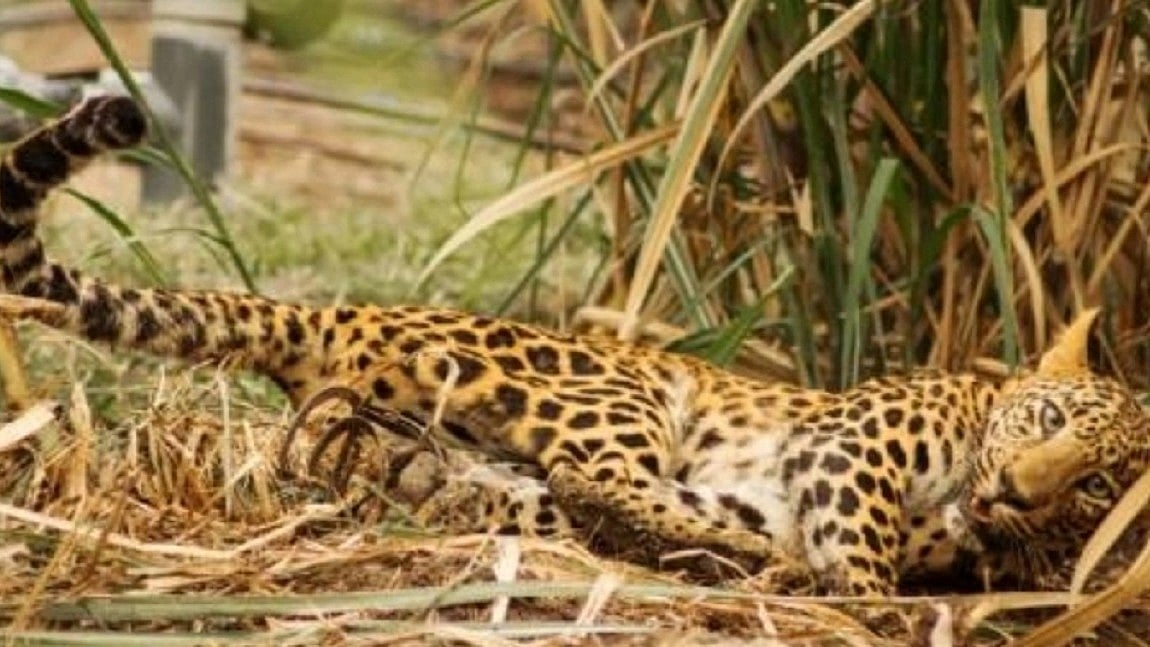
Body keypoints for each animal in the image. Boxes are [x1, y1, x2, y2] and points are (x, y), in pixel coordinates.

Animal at [2, 95, 1148, 596]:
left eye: (1099, 484)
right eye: (1046, 417)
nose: (1020, 490)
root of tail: (341, 314)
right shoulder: (846, 447)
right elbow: (859, 552)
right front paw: (862, 604)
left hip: (421, 449)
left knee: (472, 479)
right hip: (615, 386)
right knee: (594, 472)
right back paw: (743, 558)